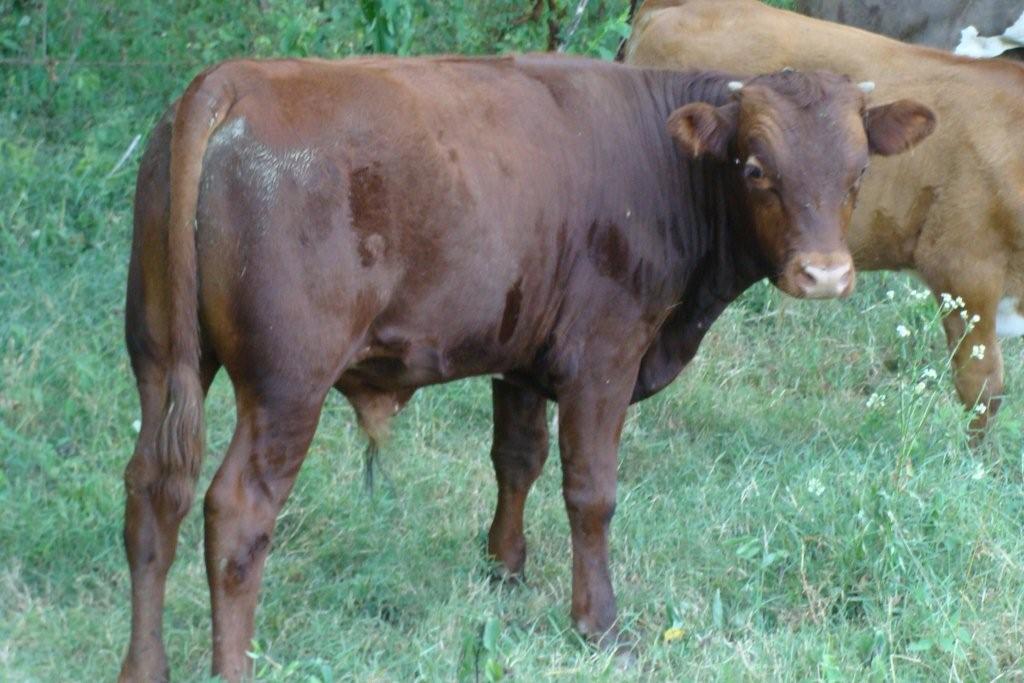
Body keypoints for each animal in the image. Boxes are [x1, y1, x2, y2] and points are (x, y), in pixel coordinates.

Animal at [120, 54, 933, 681]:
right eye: (757, 167)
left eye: (859, 169)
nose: (825, 274)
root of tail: (236, 79)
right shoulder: (604, 355)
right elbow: (591, 494)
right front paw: (599, 623)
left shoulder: (520, 350)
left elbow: (516, 457)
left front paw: (504, 569)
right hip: (286, 386)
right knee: (236, 514)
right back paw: (233, 665)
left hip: (159, 357)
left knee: (152, 495)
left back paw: (143, 665)